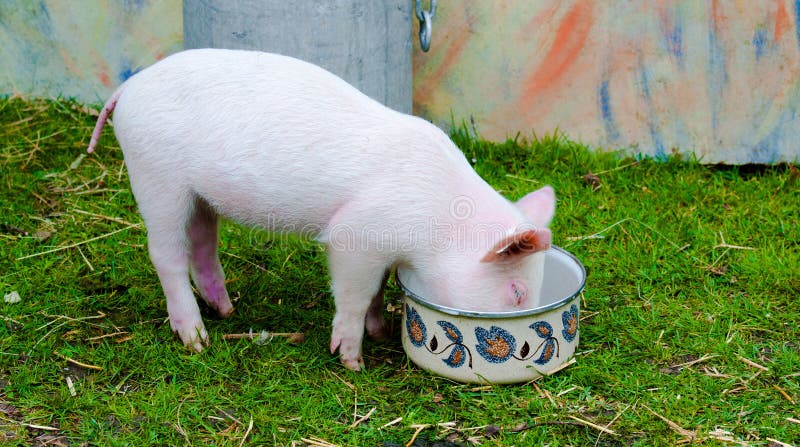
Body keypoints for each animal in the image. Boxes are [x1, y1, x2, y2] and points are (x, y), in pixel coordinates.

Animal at [87, 49, 555, 371]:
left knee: (202, 246)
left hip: (199, 195)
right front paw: (353, 362)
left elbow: (377, 291)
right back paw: (197, 340)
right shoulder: (355, 237)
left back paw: (227, 311)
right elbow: (354, 295)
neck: (439, 223)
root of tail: (128, 89)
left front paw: (381, 331)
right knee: (165, 254)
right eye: (517, 292)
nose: (524, 338)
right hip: (157, 178)